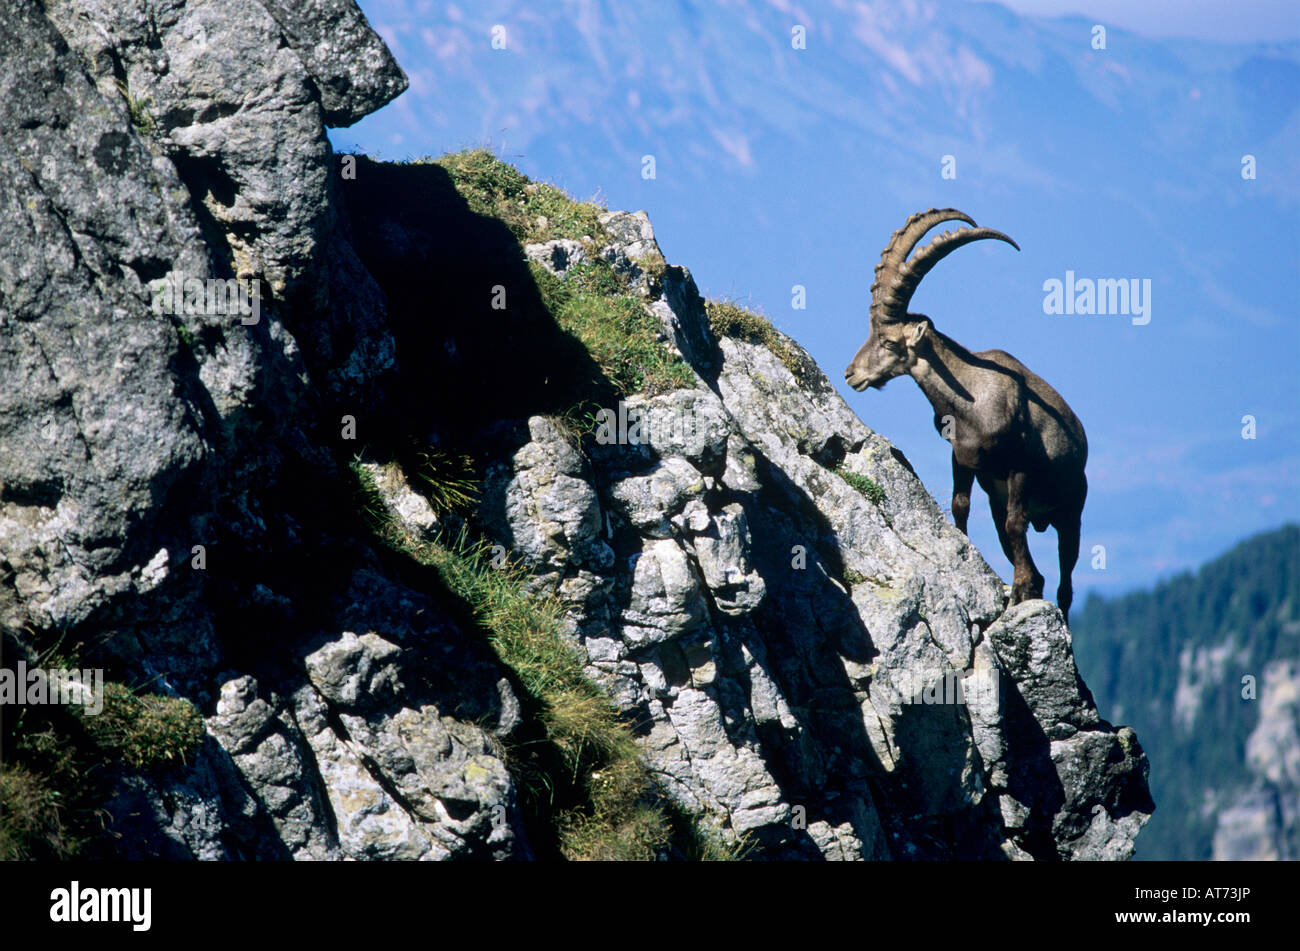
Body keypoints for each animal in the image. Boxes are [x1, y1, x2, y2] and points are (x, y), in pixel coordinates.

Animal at [844, 209, 1088, 622]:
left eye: (889, 342)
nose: (851, 374)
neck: (971, 403)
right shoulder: (963, 459)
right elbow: (962, 509)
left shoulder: (1019, 467)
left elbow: (1015, 523)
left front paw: (1019, 587)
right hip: (1001, 498)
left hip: (1071, 514)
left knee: (1064, 584)